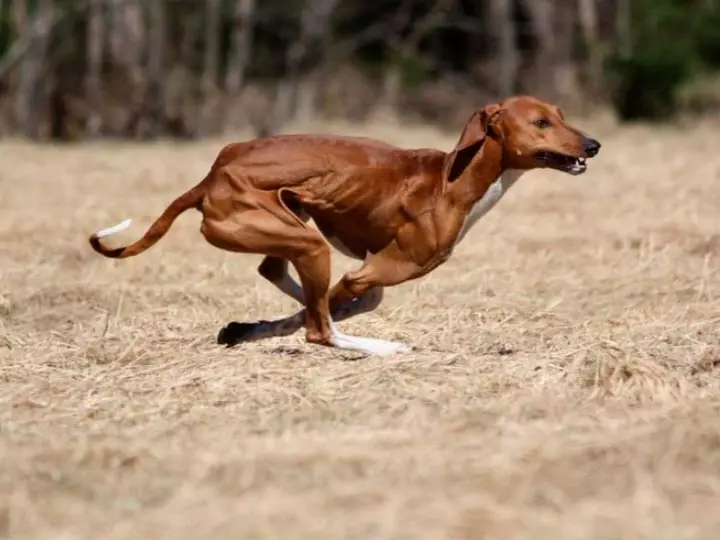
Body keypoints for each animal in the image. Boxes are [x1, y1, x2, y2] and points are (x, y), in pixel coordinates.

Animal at [90, 95, 600, 356]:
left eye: (561, 115)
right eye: (540, 122)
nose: (592, 145)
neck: (451, 179)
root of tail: (209, 178)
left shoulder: (365, 270)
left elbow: (336, 304)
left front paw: (249, 329)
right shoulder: (370, 271)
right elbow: (331, 309)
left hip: (295, 226)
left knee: (276, 274)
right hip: (311, 245)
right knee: (321, 330)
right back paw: (386, 347)